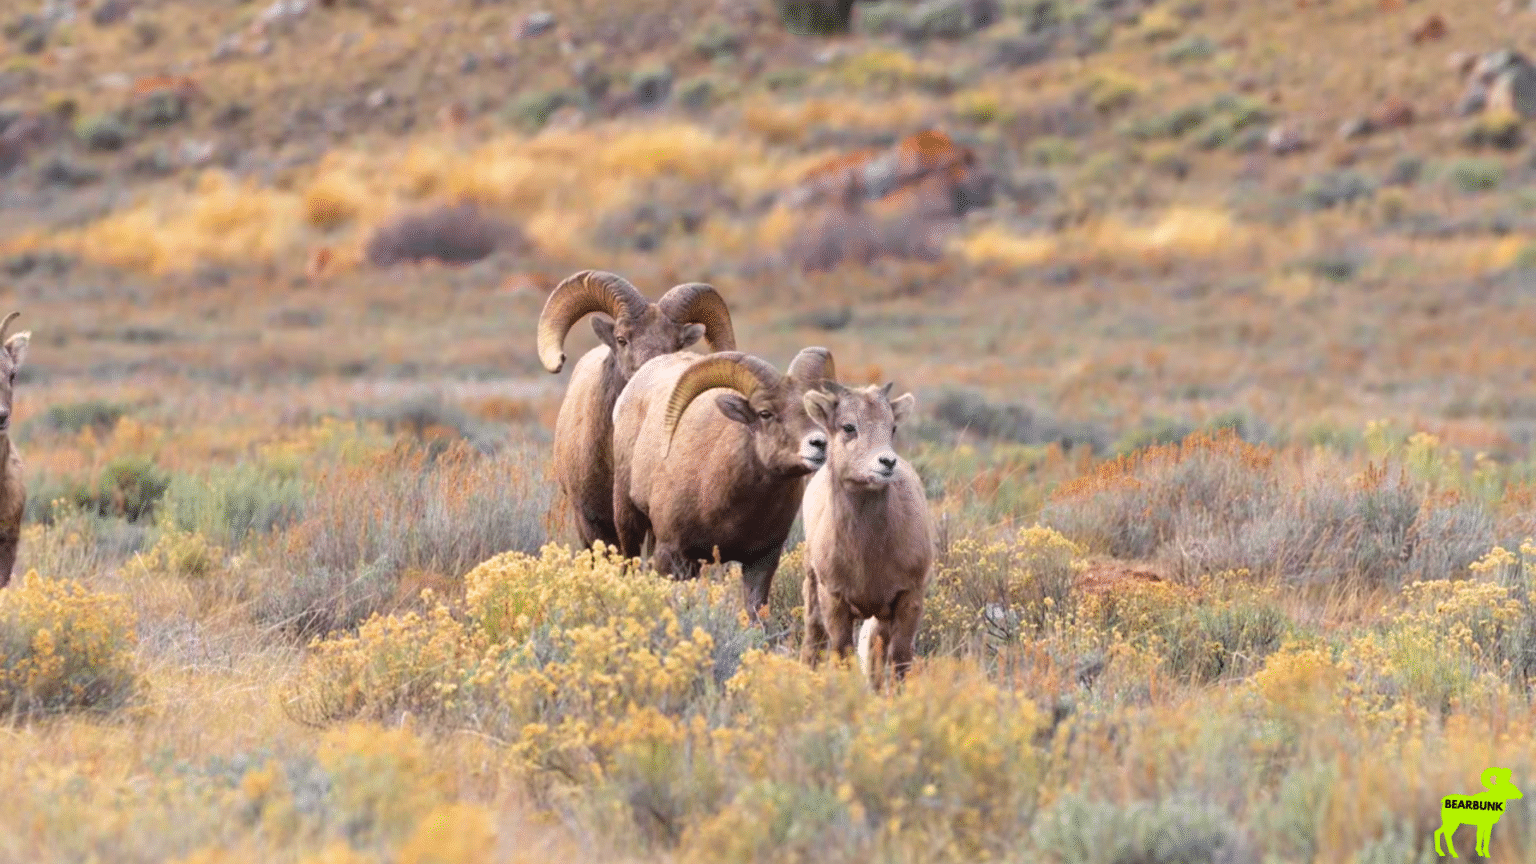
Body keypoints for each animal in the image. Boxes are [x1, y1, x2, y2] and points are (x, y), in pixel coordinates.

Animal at [797, 381, 932, 690]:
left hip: (880, 617)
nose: (887, 462)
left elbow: (900, 660)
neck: (868, 556)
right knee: (813, 641)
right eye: (848, 427)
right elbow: (842, 655)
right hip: (813, 593)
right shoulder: (834, 600)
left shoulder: (907, 598)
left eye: (892, 427)